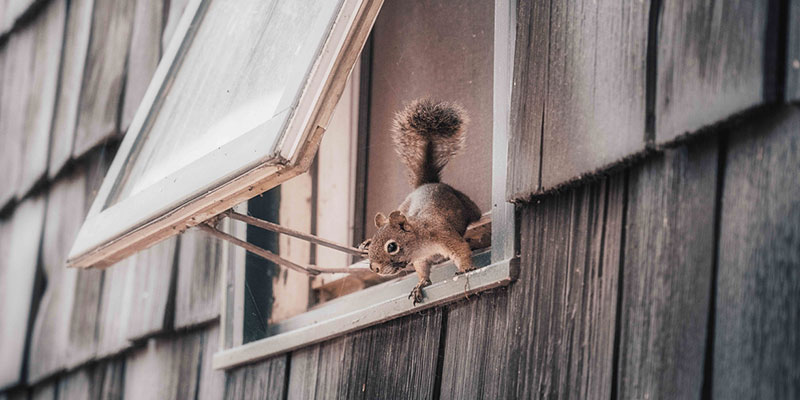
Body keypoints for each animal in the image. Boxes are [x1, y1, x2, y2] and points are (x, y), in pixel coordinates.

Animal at [359, 99, 482, 305]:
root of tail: (427, 183)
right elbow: (423, 270)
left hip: (467, 204)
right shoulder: (421, 259)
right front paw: (421, 284)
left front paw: (466, 268)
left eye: (391, 247)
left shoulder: (442, 233)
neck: (420, 243)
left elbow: (461, 250)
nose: (374, 268)